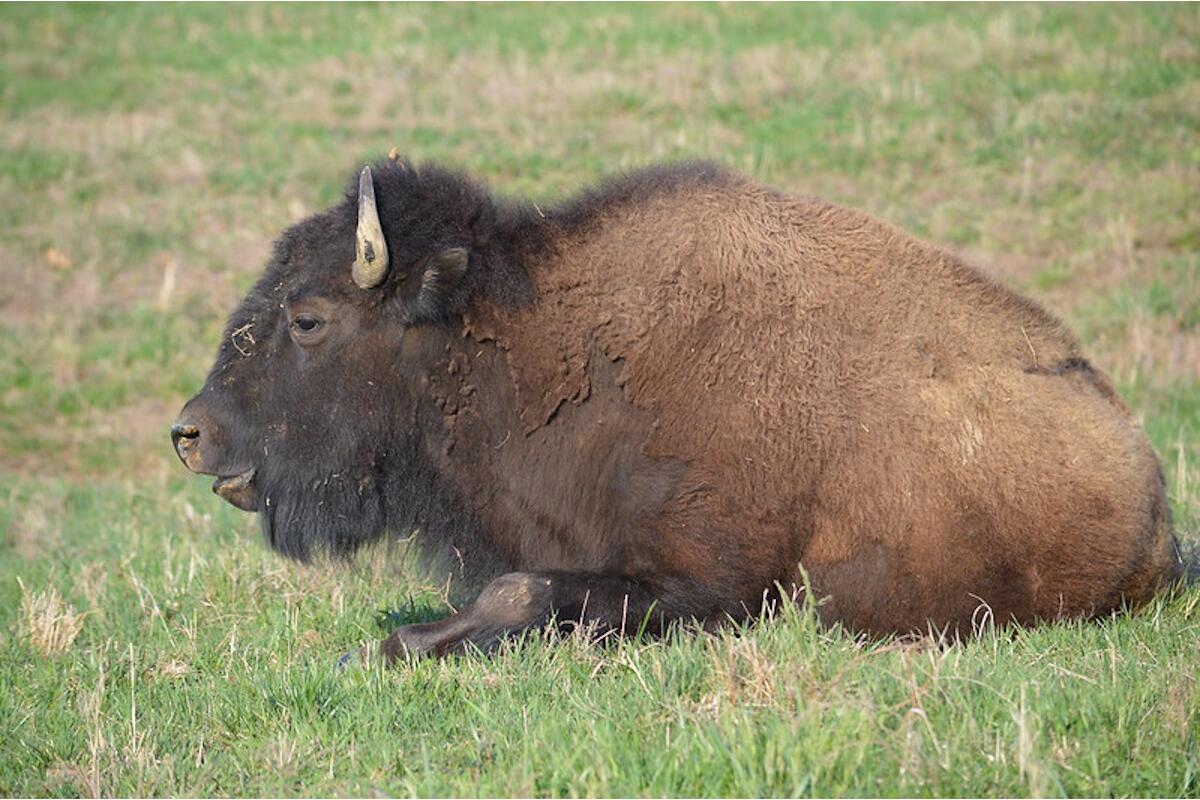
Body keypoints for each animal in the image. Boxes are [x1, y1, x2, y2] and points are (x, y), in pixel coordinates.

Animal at [172, 157, 1184, 659]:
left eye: (307, 317)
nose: (191, 432)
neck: (527, 343)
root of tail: (1159, 509)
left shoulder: (710, 585)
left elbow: (520, 588)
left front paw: (387, 647)